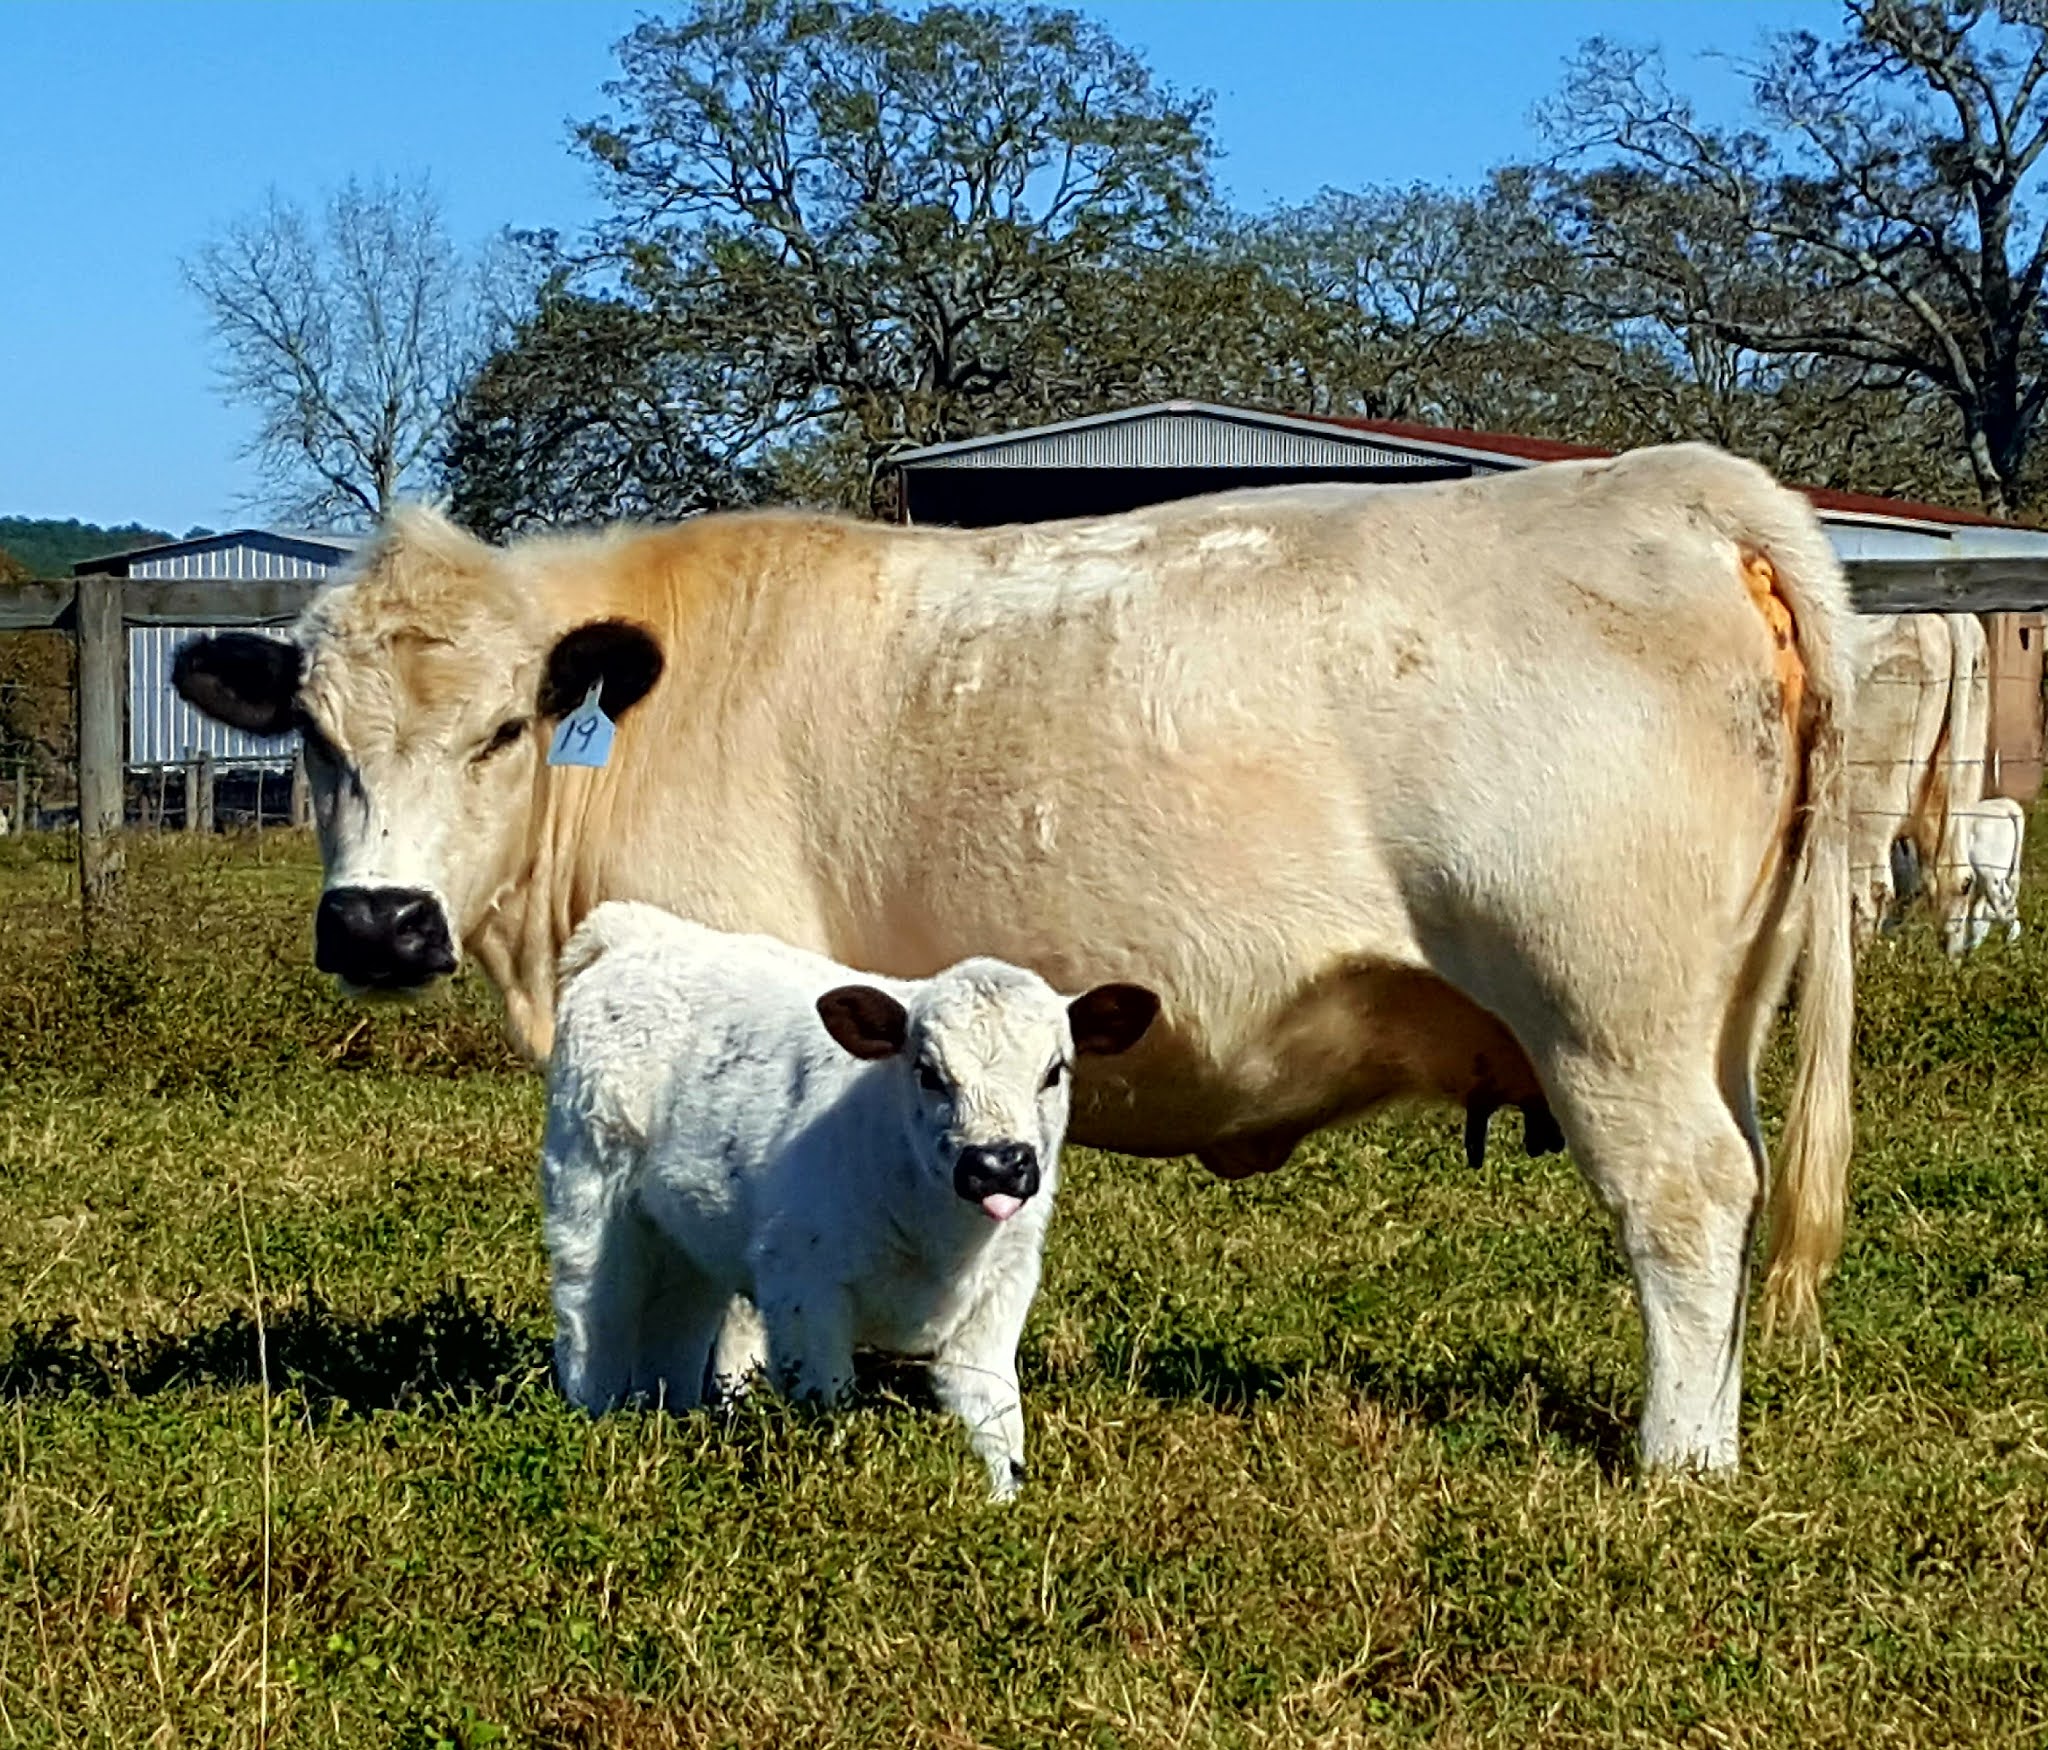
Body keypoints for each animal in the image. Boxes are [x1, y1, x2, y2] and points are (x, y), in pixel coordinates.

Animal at [541, 899, 1158, 1500]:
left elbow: (997, 1422)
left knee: (675, 1324)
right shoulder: (803, 1292)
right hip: (589, 1197)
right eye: (928, 1072)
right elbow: (828, 1410)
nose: (998, 1164)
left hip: (687, 1243)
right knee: (592, 1319)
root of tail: (637, 933)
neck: (940, 1239)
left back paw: (666, 1413)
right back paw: (594, 1415)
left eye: (1054, 1072)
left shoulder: (1000, 1296)